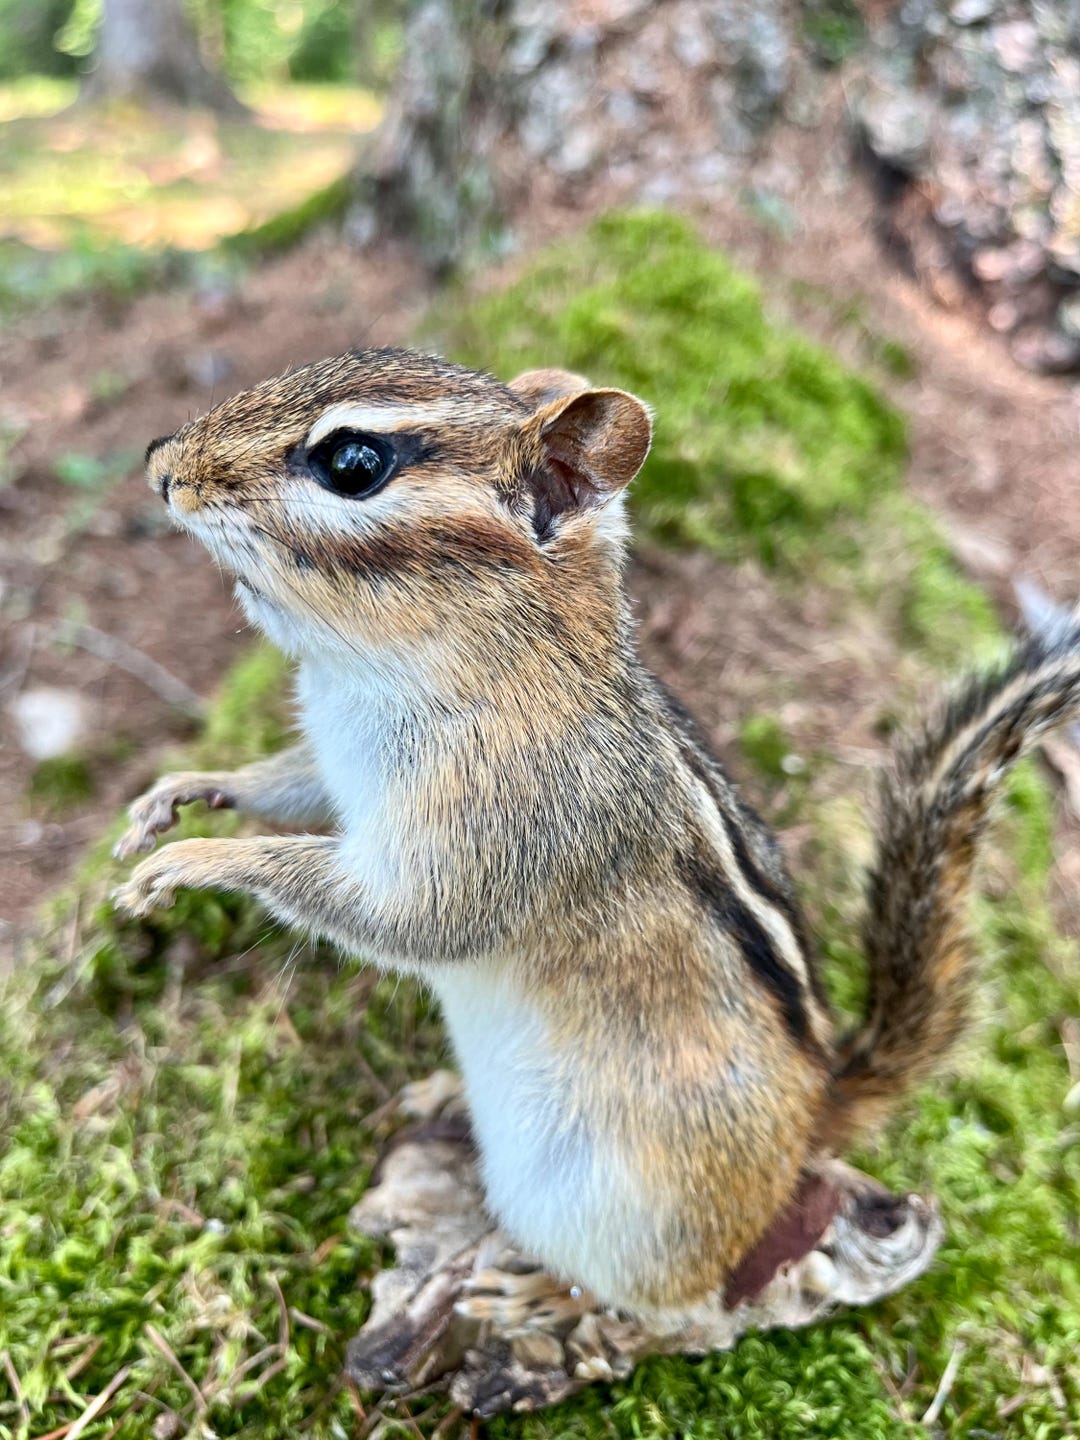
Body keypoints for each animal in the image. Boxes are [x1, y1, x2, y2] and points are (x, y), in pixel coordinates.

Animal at [113, 346, 1080, 1319]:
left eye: (354, 463)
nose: (161, 466)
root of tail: (814, 1115)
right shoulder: (340, 769)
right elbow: (289, 788)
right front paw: (181, 796)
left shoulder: (503, 830)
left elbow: (409, 918)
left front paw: (194, 860)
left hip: (623, 1215)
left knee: (674, 1304)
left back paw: (542, 1296)